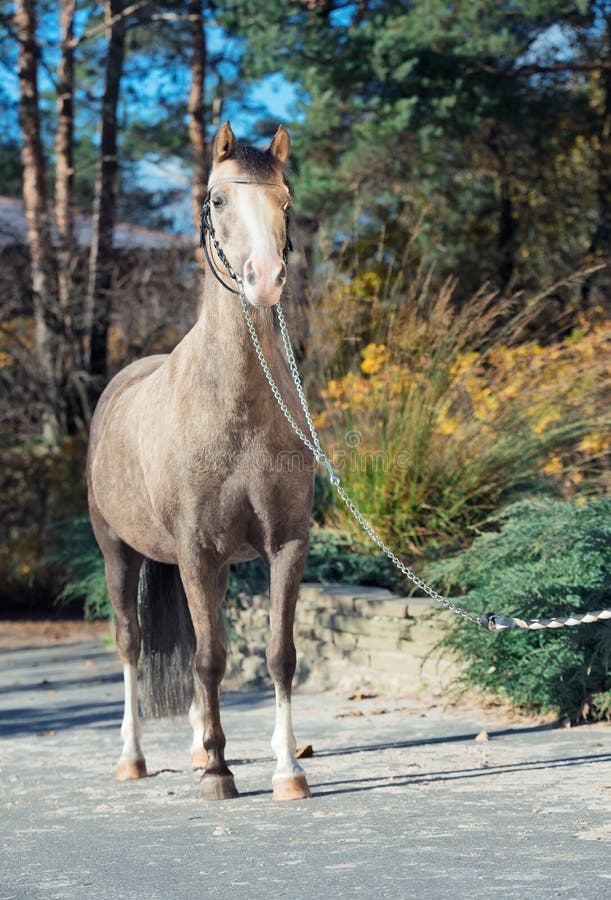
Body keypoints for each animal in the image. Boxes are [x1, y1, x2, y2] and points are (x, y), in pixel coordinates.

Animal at [87, 122, 315, 801]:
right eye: (217, 200)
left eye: (285, 200)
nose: (264, 277)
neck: (234, 409)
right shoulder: (195, 550)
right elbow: (209, 659)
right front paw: (219, 771)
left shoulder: (285, 546)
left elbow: (278, 655)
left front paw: (288, 770)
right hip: (119, 553)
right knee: (132, 645)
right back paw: (134, 757)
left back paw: (193, 746)